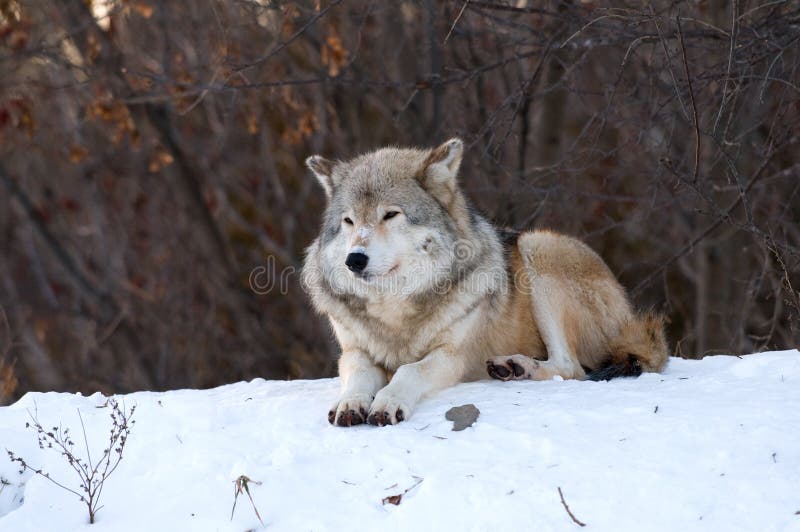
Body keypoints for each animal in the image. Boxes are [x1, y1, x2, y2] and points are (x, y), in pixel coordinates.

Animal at [301, 138, 668, 427]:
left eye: (390, 215)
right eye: (349, 221)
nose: (354, 259)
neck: (394, 311)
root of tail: (630, 317)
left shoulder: (451, 356)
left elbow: (409, 371)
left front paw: (388, 403)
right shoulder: (354, 352)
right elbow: (357, 377)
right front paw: (350, 404)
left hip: (538, 247)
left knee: (571, 367)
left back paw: (518, 366)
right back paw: (512, 366)